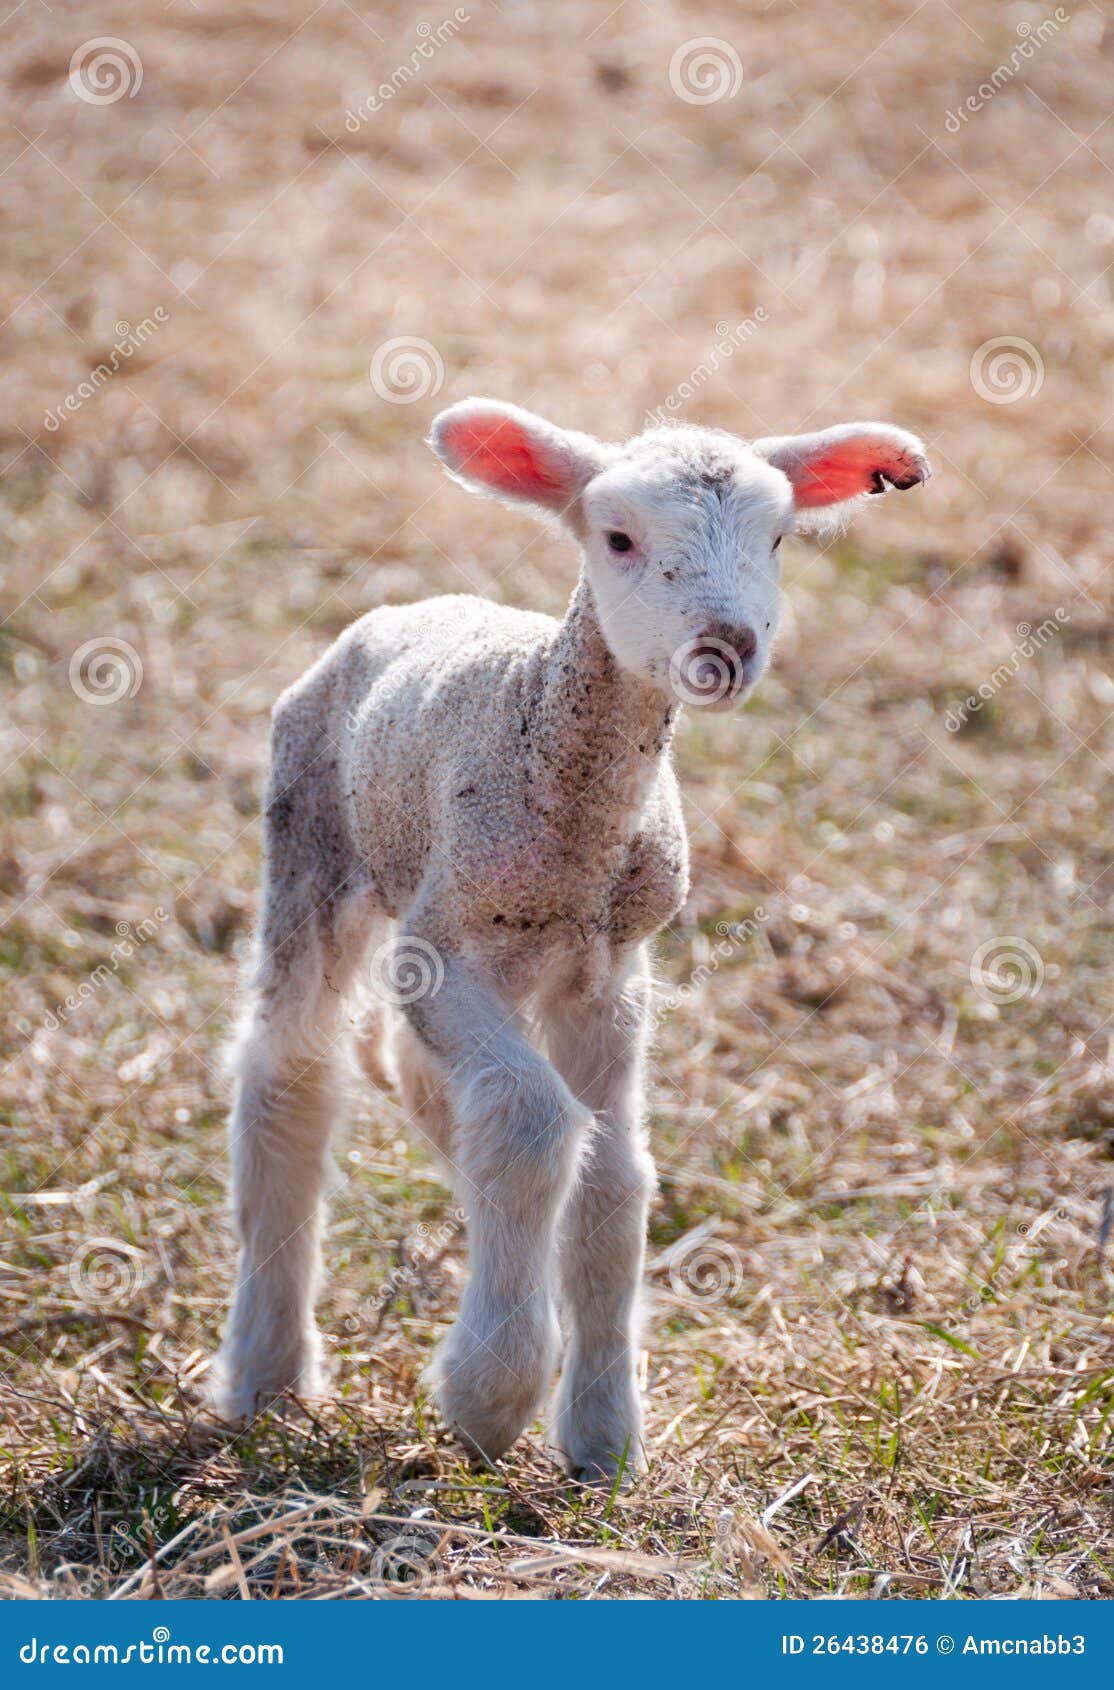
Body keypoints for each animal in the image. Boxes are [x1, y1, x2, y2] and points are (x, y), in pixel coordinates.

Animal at [213, 399, 929, 1478]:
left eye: (776, 537)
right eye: (617, 538)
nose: (725, 644)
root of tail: (404, 611)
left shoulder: (609, 971)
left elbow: (613, 1181)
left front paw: (601, 1433)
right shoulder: (441, 949)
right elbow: (532, 1126)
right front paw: (492, 1395)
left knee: (424, 1080)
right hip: (314, 846)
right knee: (291, 1078)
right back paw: (267, 1376)